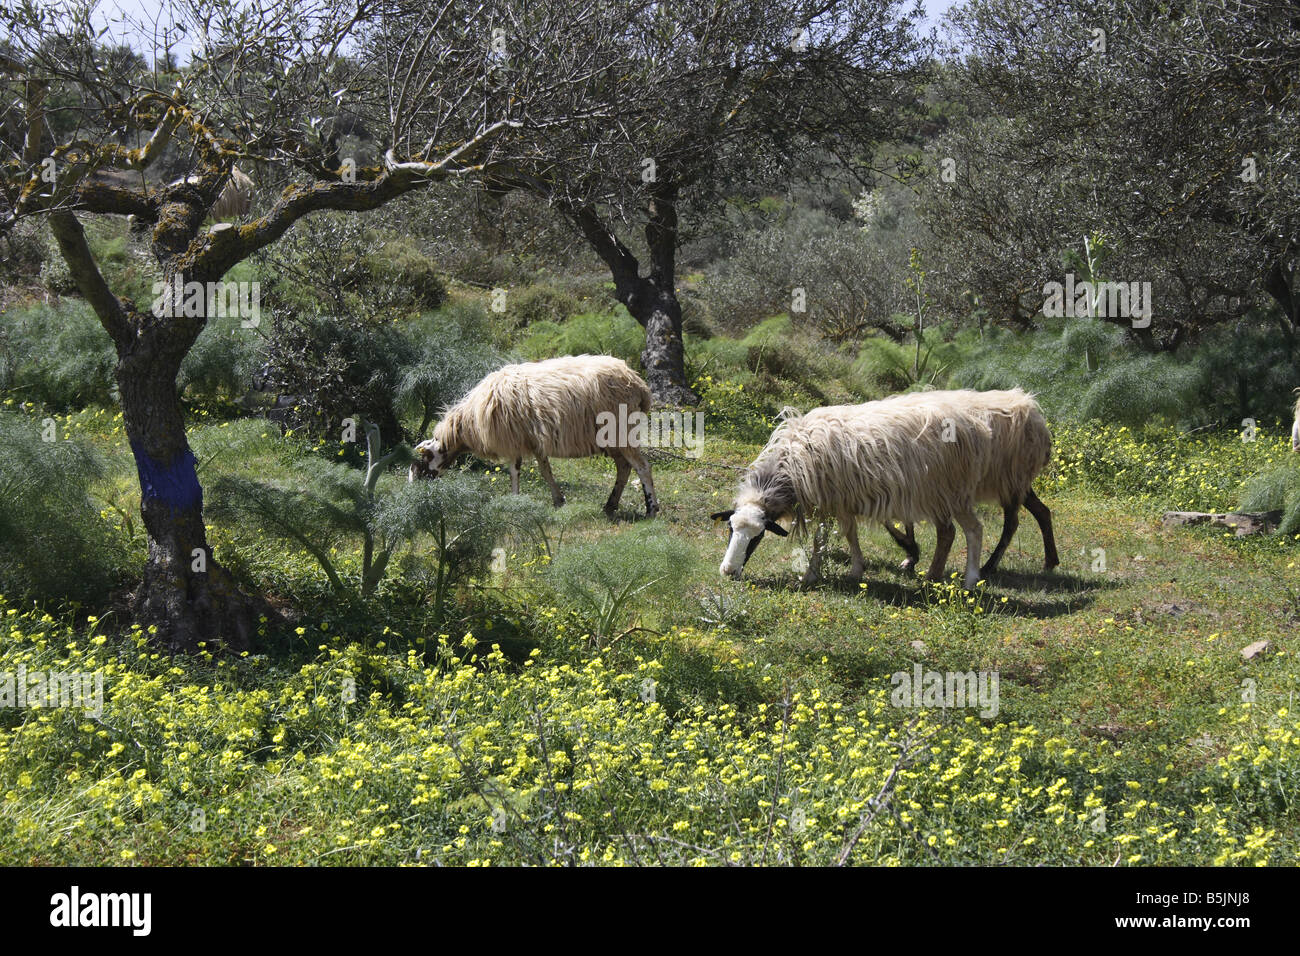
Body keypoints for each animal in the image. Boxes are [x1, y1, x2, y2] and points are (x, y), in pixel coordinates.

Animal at [409, 354, 660, 517]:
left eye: (424, 459)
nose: (415, 494)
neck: (468, 424)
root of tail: (638, 383)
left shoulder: (513, 441)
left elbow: (514, 472)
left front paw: (514, 500)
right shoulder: (533, 442)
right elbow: (545, 471)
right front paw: (558, 500)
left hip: (621, 430)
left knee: (642, 467)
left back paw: (651, 509)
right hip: (611, 439)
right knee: (624, 468)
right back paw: (610, 505)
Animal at [881, 388, 1058, 578]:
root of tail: (1036, 417)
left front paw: (911, 551)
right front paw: (911, 556)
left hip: (1012, 478)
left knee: (1012, 523)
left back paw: (988, 566)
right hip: (1016, 482)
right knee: (1042, 511)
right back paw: (1050, 562)